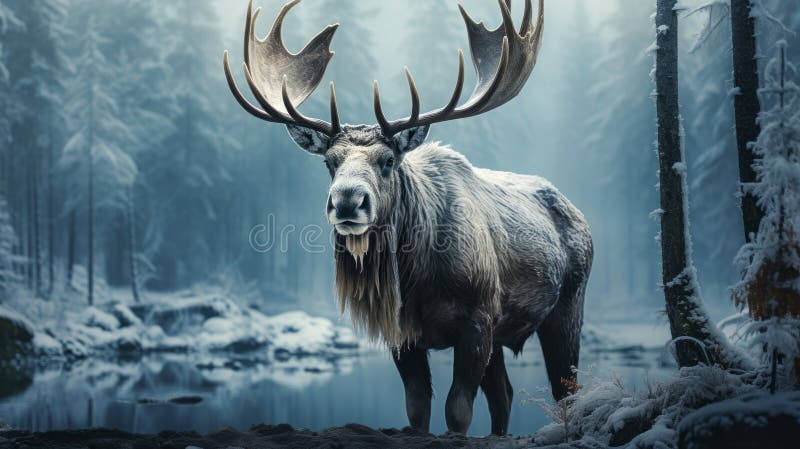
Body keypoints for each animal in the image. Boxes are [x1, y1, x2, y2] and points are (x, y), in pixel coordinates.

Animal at [223, 0, 592, 435]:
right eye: (330, 162)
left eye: (387, 160)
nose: (347, 201)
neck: (419, 281)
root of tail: (579, 216)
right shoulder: (404, 334)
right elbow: (417, 409)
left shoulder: (477, 320)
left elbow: (457, 411)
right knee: (504, 394)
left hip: (568, 306)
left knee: (566, 389)